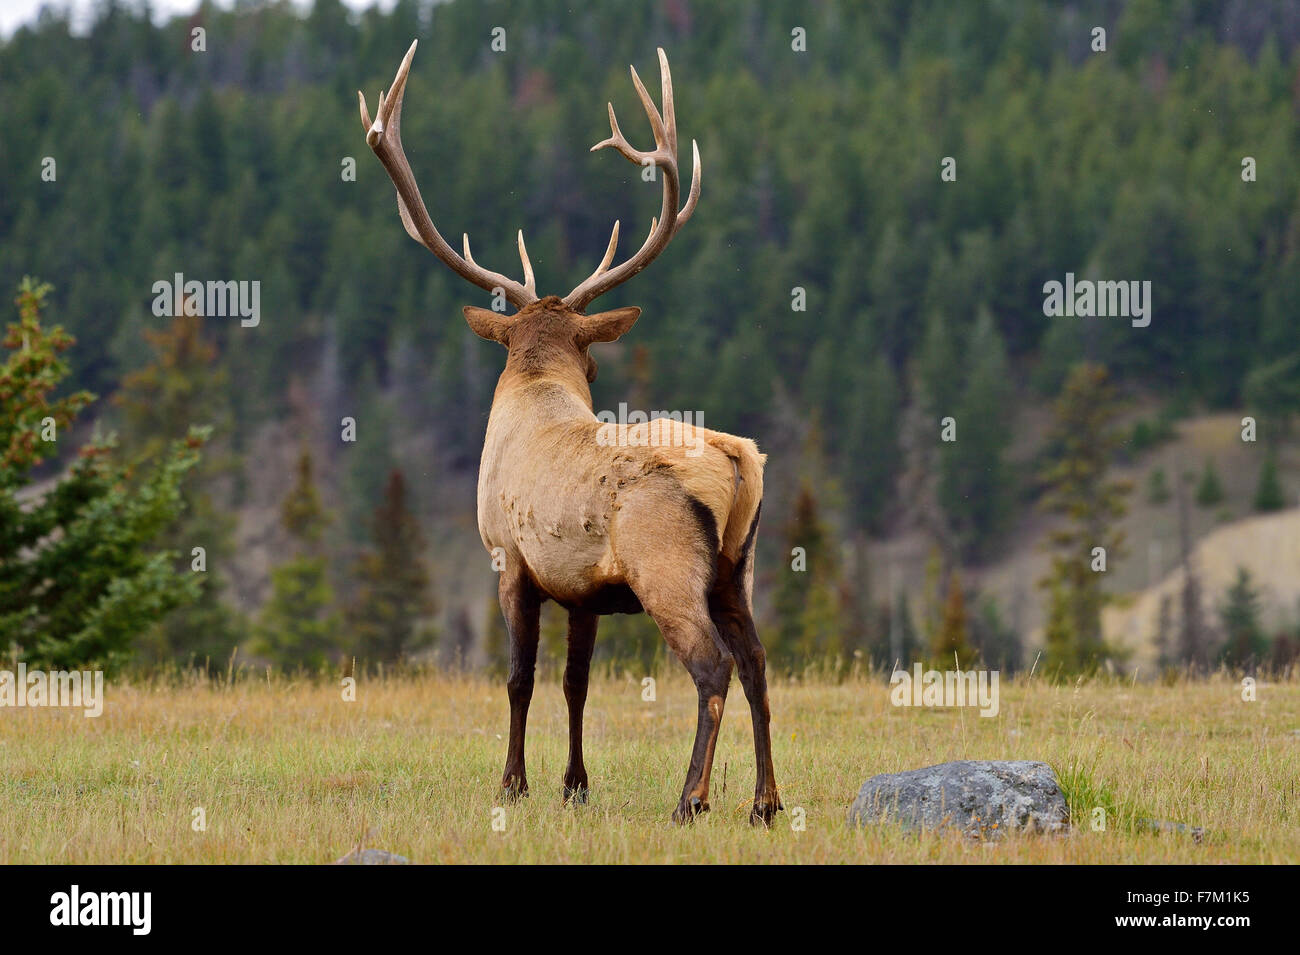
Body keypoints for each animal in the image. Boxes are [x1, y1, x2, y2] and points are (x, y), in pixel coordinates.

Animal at [359, 41, 780, 826]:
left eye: (590, 357)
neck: (532, 392)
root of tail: (738, 458)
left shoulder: (508, 558)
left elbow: (520, 678)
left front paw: (513, 782)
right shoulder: (584, 587)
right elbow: (574, 682)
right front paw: (574, 783)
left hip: (667, 566)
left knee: (711, 666)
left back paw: (692, 797)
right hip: (738, 566)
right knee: (758, 661)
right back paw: (766, 802)